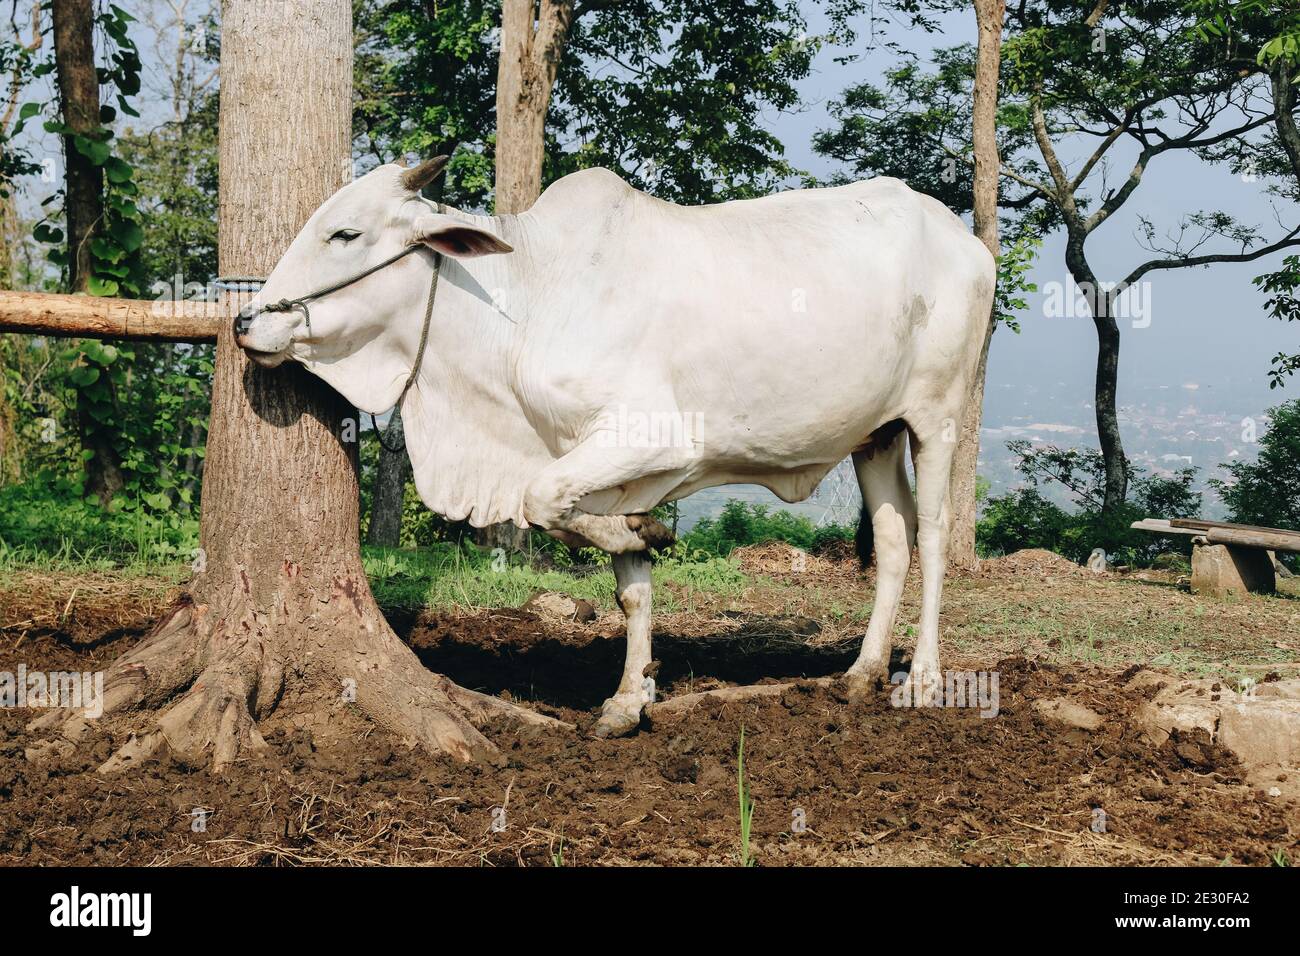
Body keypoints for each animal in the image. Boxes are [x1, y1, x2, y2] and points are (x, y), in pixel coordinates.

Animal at [235, 157, 996, 737]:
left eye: (346, 232)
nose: (245, 321)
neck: (525, 301)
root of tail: (964, 239)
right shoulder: (598, 465)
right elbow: (626, 584)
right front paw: (629, 697)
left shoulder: (651, 440)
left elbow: (543, 501)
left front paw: (647, 535)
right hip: (876, 435)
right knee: (894, 541)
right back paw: (861, 674)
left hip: (935, 419)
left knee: (933, 536)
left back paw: (922, 677)